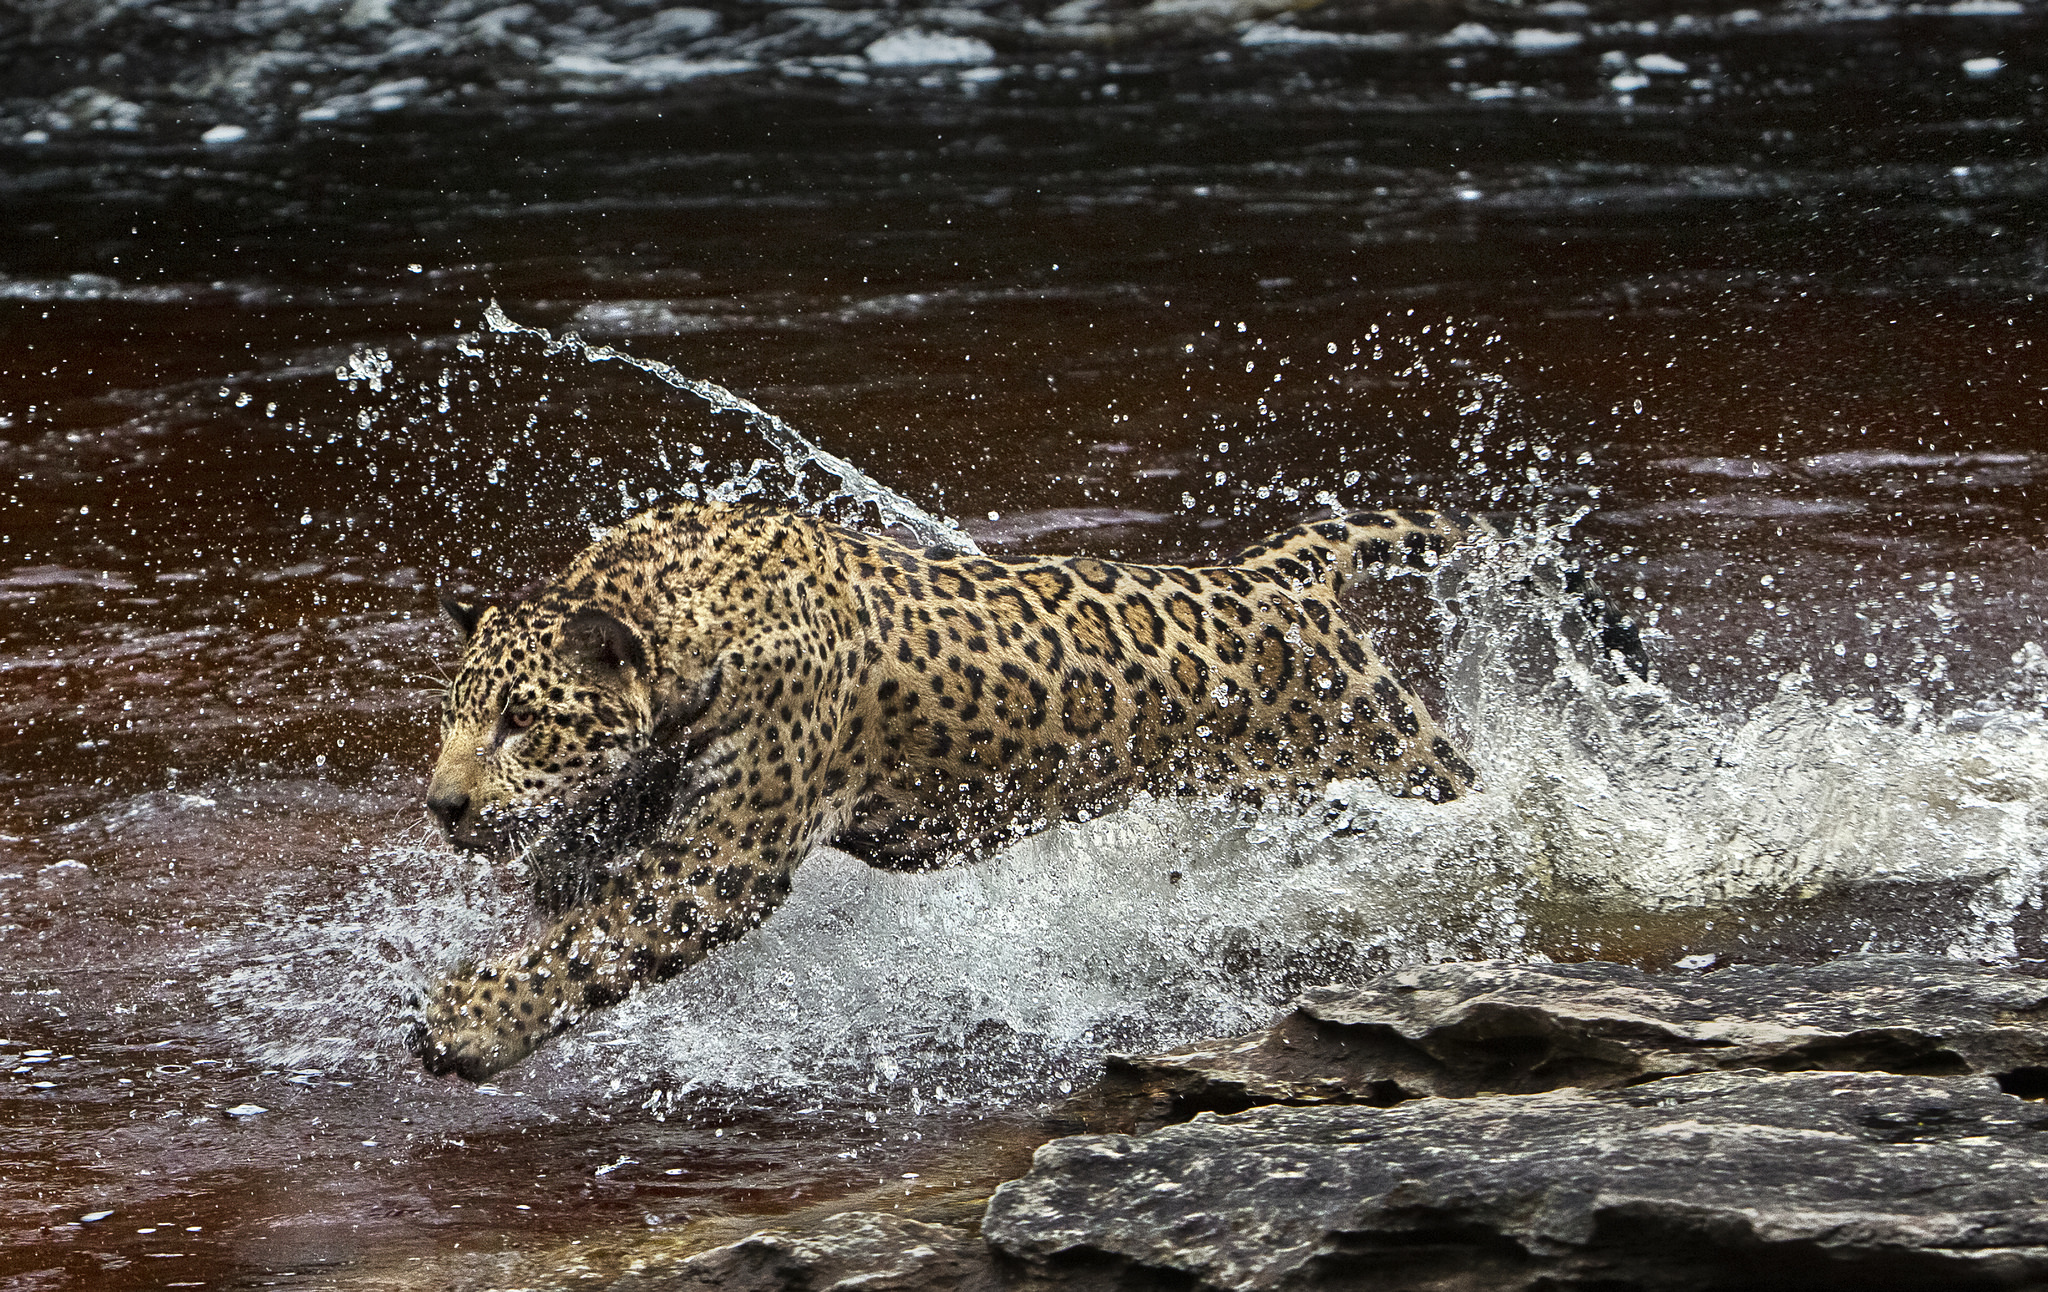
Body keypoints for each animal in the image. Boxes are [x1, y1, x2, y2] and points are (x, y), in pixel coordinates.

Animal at [412, 498, 1643, 1080]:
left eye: (519, 719)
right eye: (457, 715)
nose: (441, 806)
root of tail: (1277, 574)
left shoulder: (729, 852)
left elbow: (603, 937)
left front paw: (471, 1021)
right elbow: (582, 880)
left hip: (1396, 760)